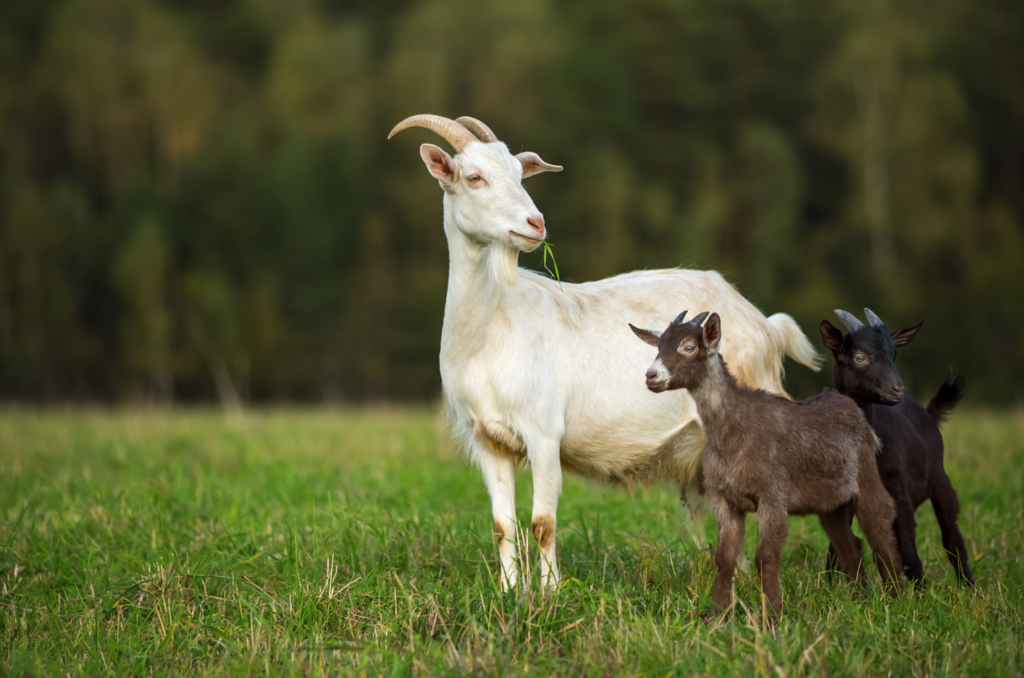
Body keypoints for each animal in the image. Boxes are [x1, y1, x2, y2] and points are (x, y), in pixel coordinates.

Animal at [389, 114, 822, 590]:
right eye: (474, 177)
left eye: (521, 175)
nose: (535, 223)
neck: (489, 329)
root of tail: (765, 325)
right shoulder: (487, 439)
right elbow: (503, 525)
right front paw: (509, 592)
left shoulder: (543, 432)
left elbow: (543, 523)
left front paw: (549, 594)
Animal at [631, 311, 902, 622]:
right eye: (659, 345)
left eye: (688, 347)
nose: (651, 376)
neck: (734, 429)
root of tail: (851, 406)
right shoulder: (724, 498)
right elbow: (723, 558)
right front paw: (716, 617)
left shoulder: (772, 494)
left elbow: (766, 557)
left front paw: (772, 618)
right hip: (830, 503)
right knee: (851, 545)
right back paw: (859, 600)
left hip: (866, 473)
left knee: (880, 521)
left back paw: (897, 599)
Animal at [821, 309, 973, 588]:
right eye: (860, 357)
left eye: (894, 355)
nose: (897, 389)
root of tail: (927, 413)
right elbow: (837, 549)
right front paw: (832, 587)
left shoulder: (899, 493)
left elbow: (909, 552)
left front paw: (920, 594)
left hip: (940, 480)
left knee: (952, 538)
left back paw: (970, 588)